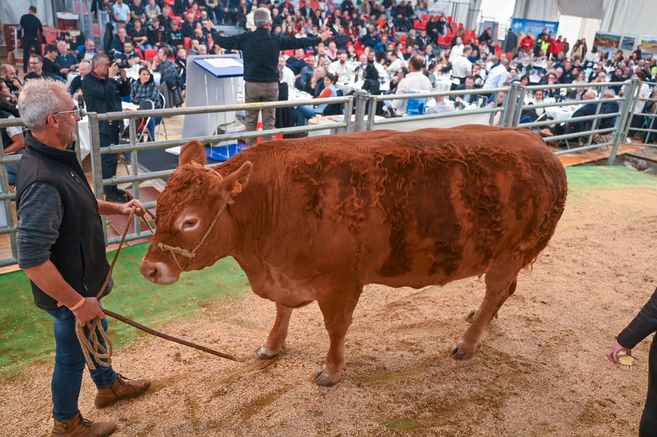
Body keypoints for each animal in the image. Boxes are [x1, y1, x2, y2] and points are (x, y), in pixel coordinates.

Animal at [140, 126, 567, 386]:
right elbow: (281, 310)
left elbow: (335, 328)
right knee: (506, 290)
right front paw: (271, 346)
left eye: (190, 220)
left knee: (496, 290)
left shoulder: (340, 282)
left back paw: (468, 342)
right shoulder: (284, 275)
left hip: (511, 251)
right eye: (157, 209)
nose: (149, 268)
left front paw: (330, 371)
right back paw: (481, 319)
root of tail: (541, 147)